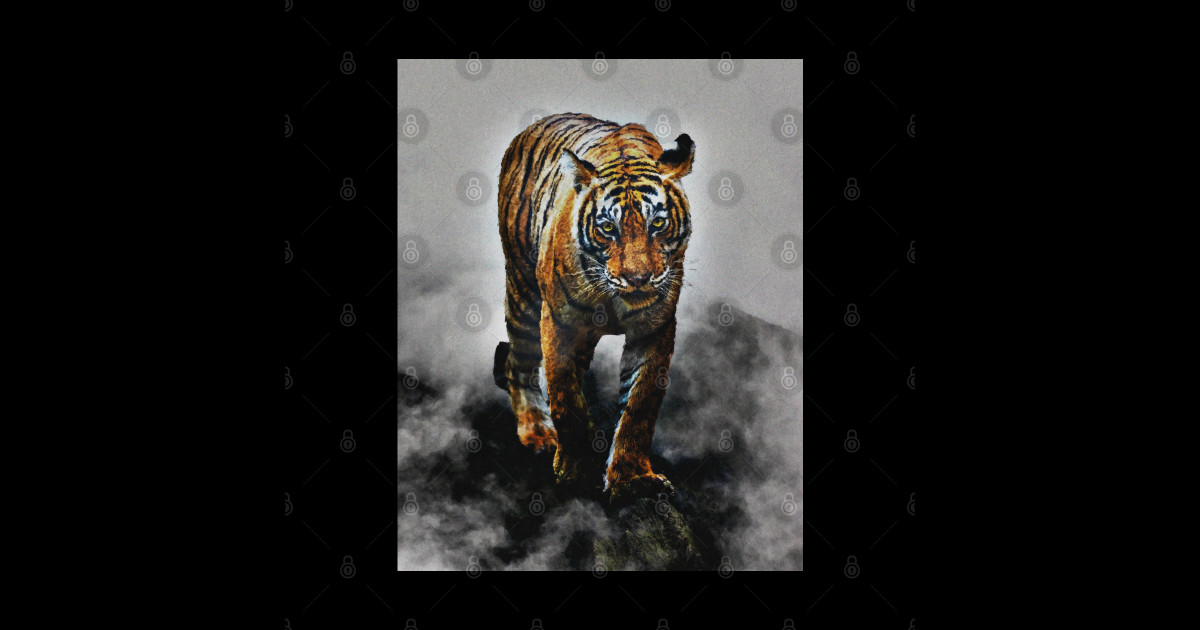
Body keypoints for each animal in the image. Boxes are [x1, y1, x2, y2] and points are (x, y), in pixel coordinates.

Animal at [494, 113, 695, 502]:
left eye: (658, 223)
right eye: (607, 227)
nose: (638, 278)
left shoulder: (655, 329)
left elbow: (640, 405)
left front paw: (632, 479)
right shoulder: (560, 323)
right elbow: (566, 398)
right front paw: (575, 471)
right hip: (524, 294)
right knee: (517, 361)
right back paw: (537, 432)